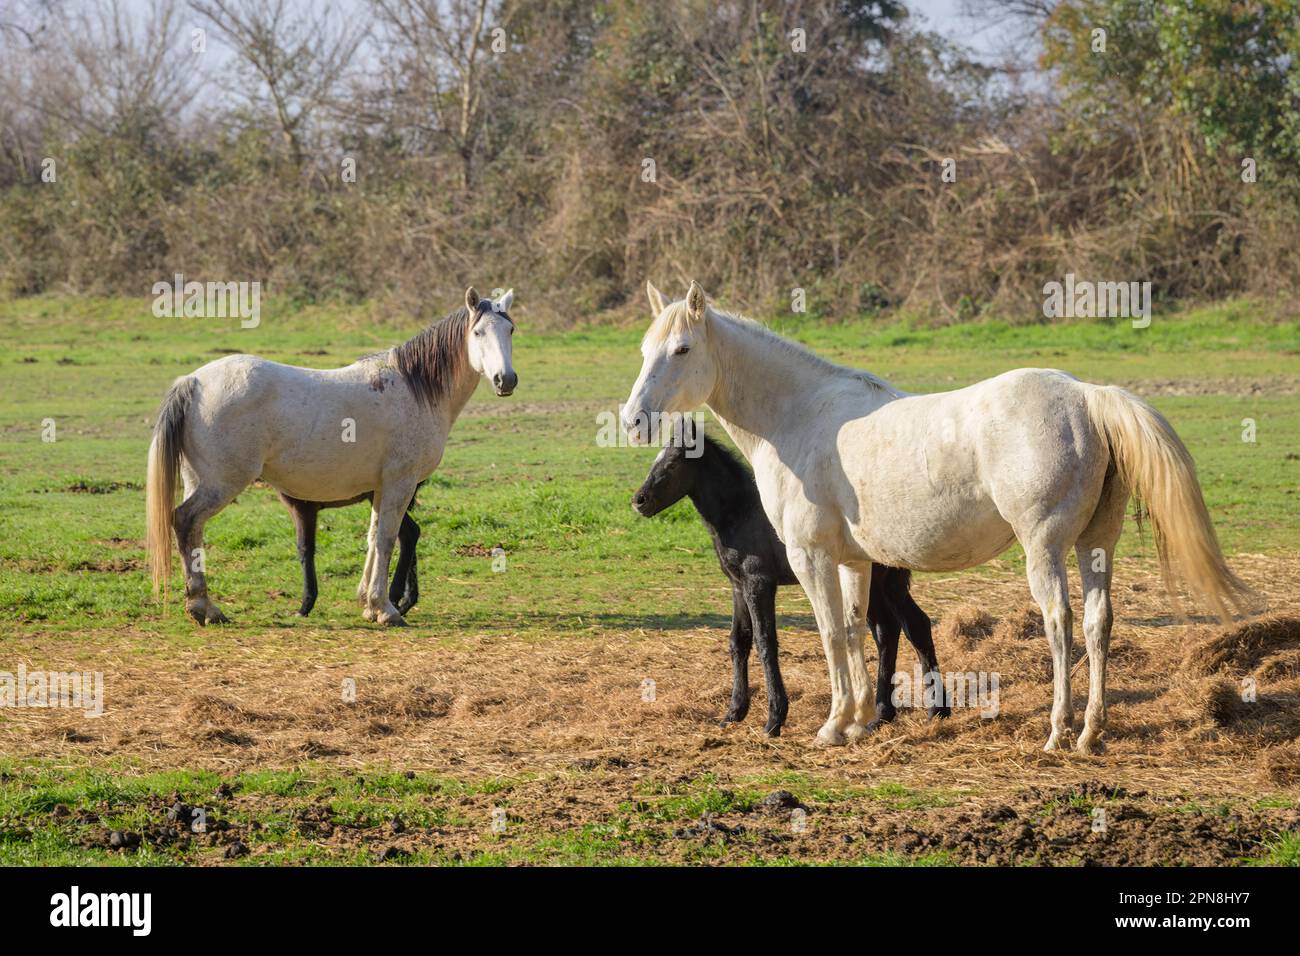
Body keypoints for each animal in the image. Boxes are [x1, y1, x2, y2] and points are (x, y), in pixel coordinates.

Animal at [146, 287, 517, 627]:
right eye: (478, 333)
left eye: (510, 330)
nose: (506, 379)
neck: (416, 391)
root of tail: (193, 381)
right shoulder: (400, 483)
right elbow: (387, 540)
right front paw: (386, 609)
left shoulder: (380, 488)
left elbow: (374, 537)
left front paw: (369, 603)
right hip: (221, 484)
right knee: (185, 521)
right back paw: (202, 607)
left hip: (199, 480)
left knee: (192, 530)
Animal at [632, 419, 948, 736]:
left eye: (673, 462)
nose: (639, 500)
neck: (740, 512)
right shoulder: (738, 586)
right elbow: (738, 641)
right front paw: (734, 712)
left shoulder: (759, 582)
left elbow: (765, 642)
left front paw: (774, 719)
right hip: (882, 583)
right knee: (900, 627)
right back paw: (895, 714)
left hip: (881, 581)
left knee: (902, 627)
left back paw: (923, 711)